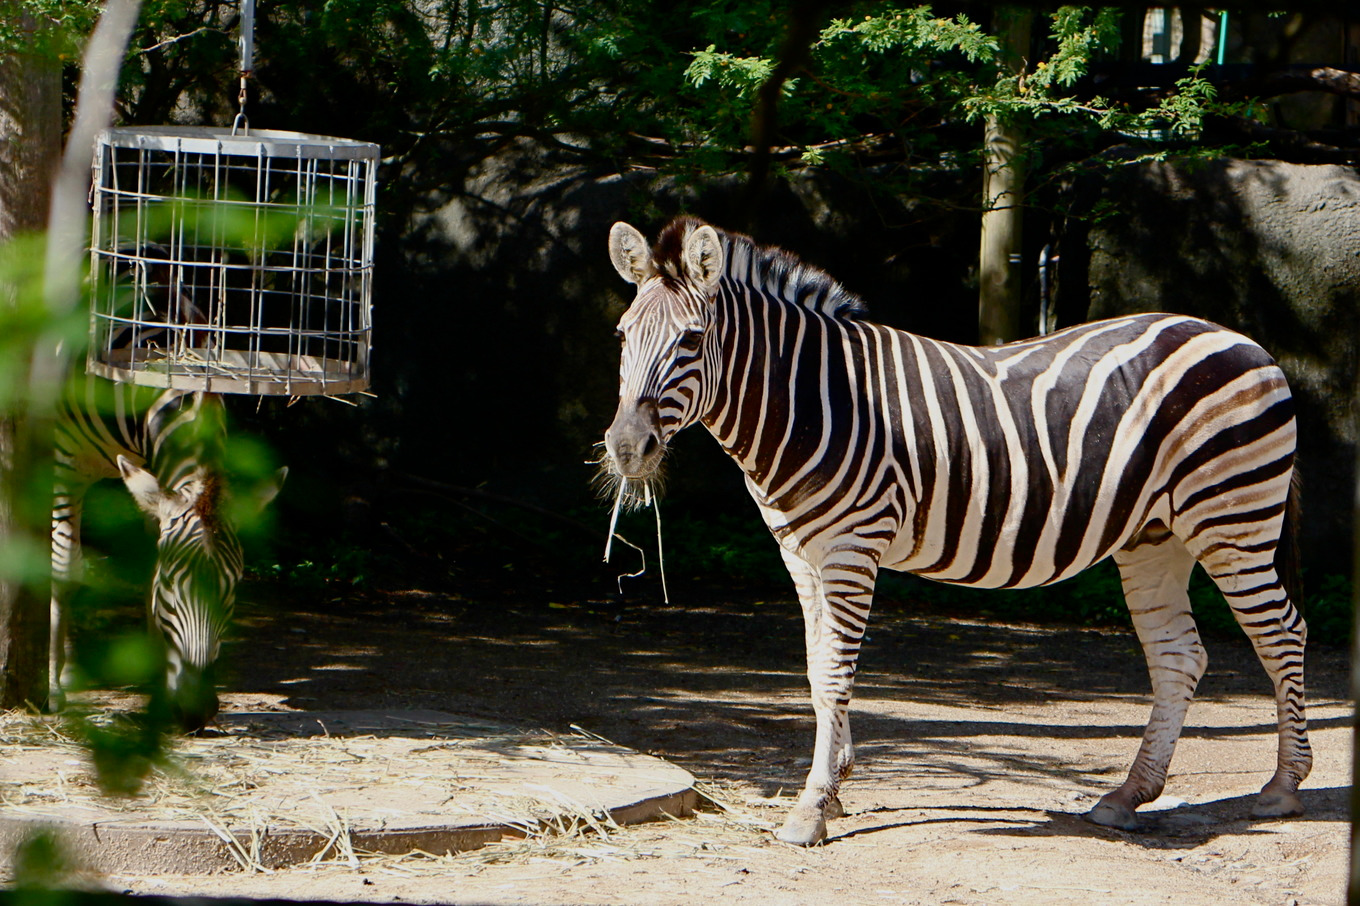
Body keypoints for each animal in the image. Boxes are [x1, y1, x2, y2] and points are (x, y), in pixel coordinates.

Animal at [50, 374, 285, 731]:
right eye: (170, 585)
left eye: (232, 592)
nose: (197, 709)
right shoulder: (67, 460)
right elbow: (64, 571)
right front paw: (53, 689)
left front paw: (157, 687)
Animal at [601, 217, 1309, 846]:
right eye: (622, 336)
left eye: (691, 340)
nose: (627, 448)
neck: (811, 400)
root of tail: (1246, 343)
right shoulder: (799, 553)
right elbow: (815, 665)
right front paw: (835, 786)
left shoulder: (852, 546)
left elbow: (834, 671)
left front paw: (812, 808)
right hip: (1156, 537)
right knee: (1178, 656)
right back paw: (1129, 795)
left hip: (1233, 519)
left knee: (1282, 633)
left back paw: (1282, 787)